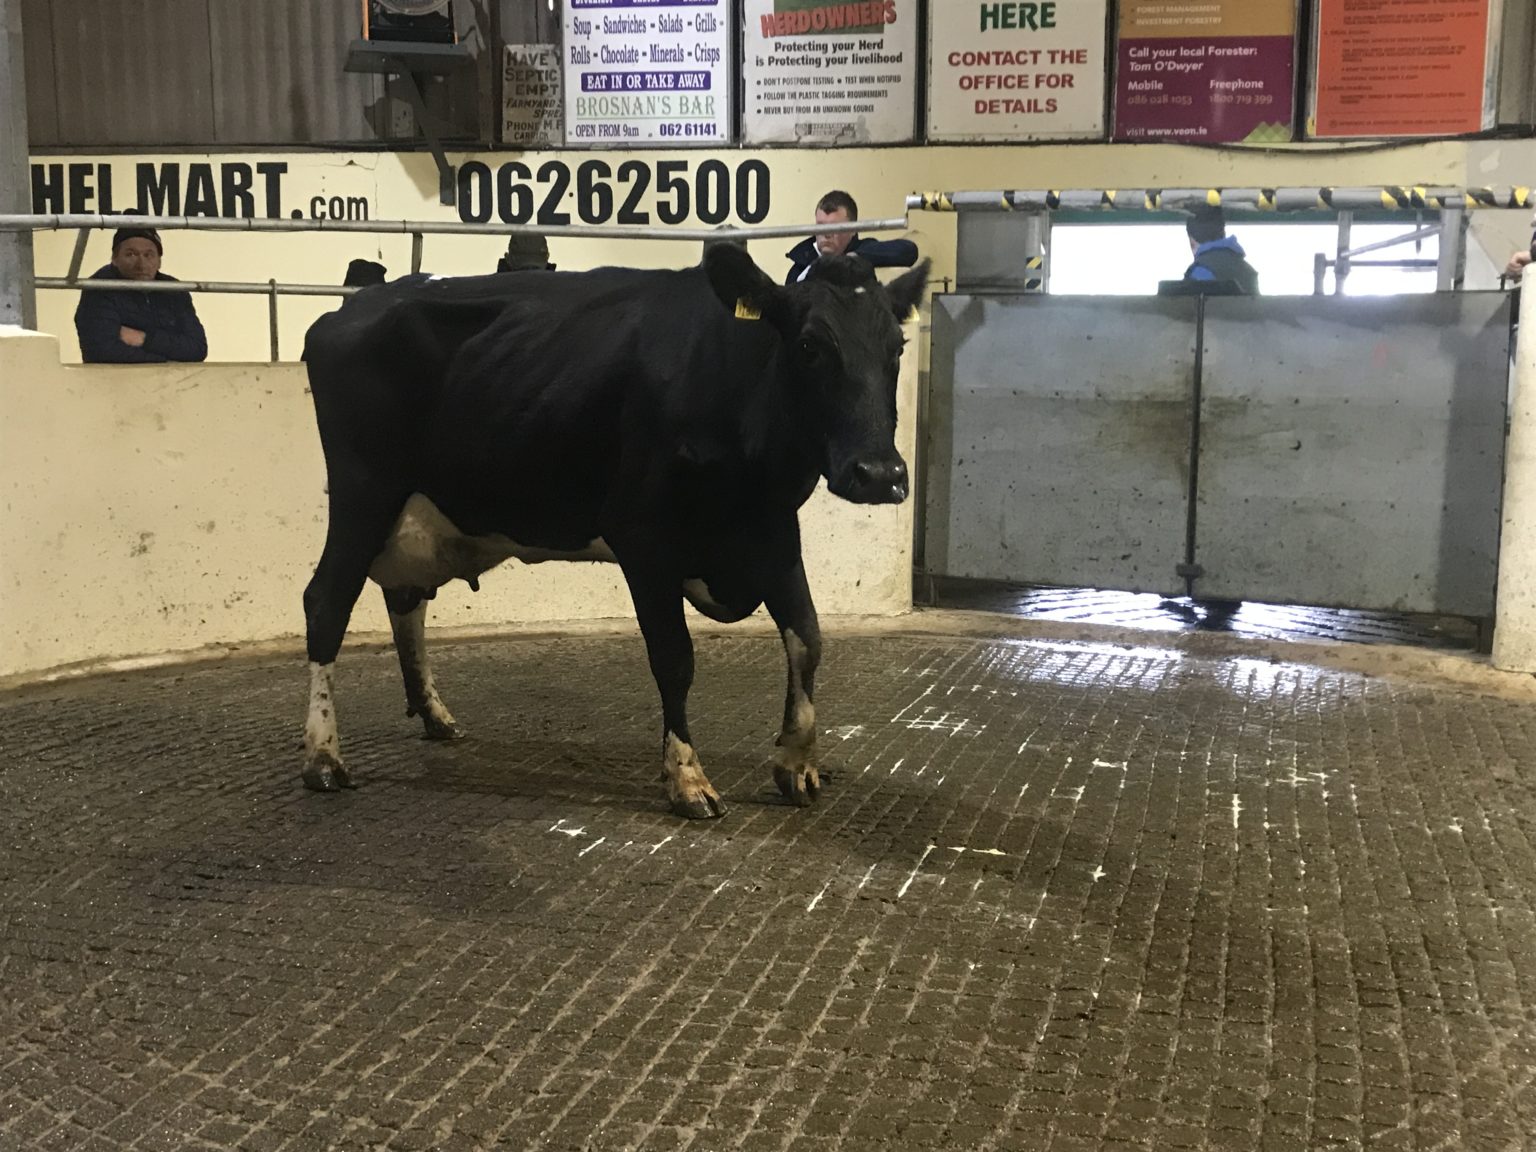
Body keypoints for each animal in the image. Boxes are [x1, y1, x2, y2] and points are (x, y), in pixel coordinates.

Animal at [299, 245, 929, 819]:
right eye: (809, 346)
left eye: (897, 349)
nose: (880, 474)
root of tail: (353, 307)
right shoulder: (645, 540)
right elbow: (675, 658)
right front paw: (687, 778)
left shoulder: (773, 532)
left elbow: (808, 639)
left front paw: (797, 764)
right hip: (364, 493)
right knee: (326, 602)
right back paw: (323, 757)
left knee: (405, 601)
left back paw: (434, 715)